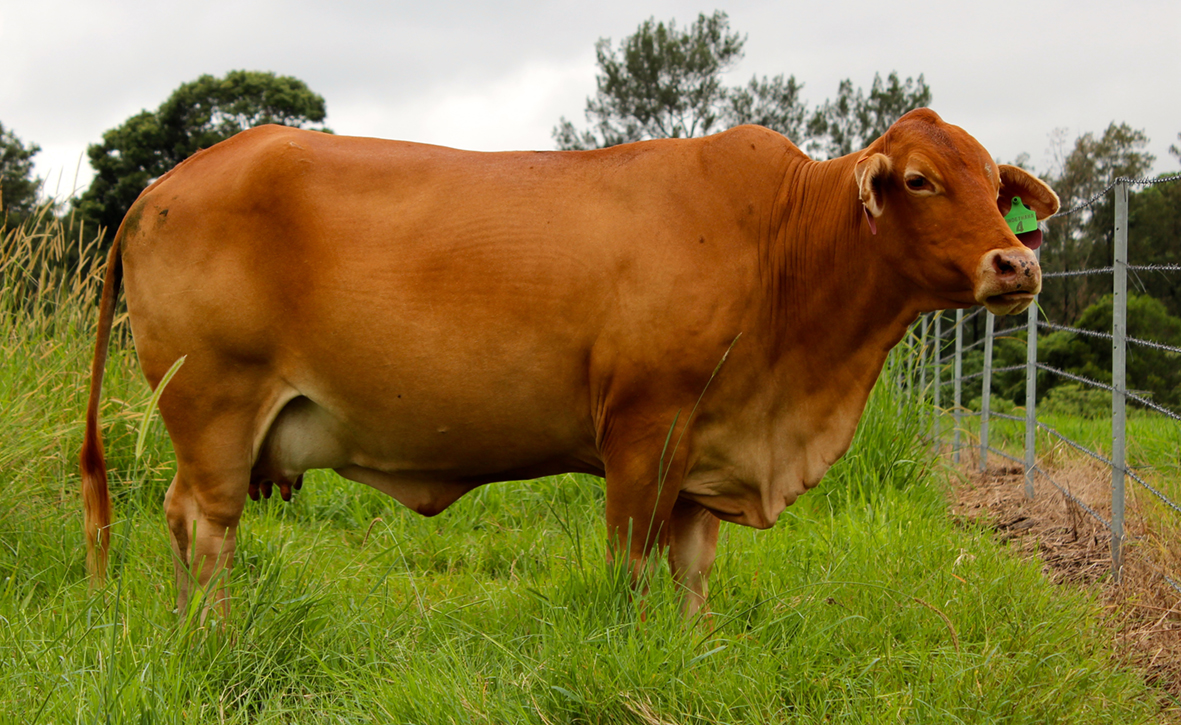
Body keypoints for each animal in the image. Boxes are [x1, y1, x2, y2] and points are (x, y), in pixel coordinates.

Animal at [81, 108, 1058, 618]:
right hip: (213, 405)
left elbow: (691, 571)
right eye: (921, 180)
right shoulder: (643, 431)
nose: (1016, 264)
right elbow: (631, 565)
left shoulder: (706, 451)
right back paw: (213, 635)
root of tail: (167, 181)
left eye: (993, 183)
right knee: (204, 526)